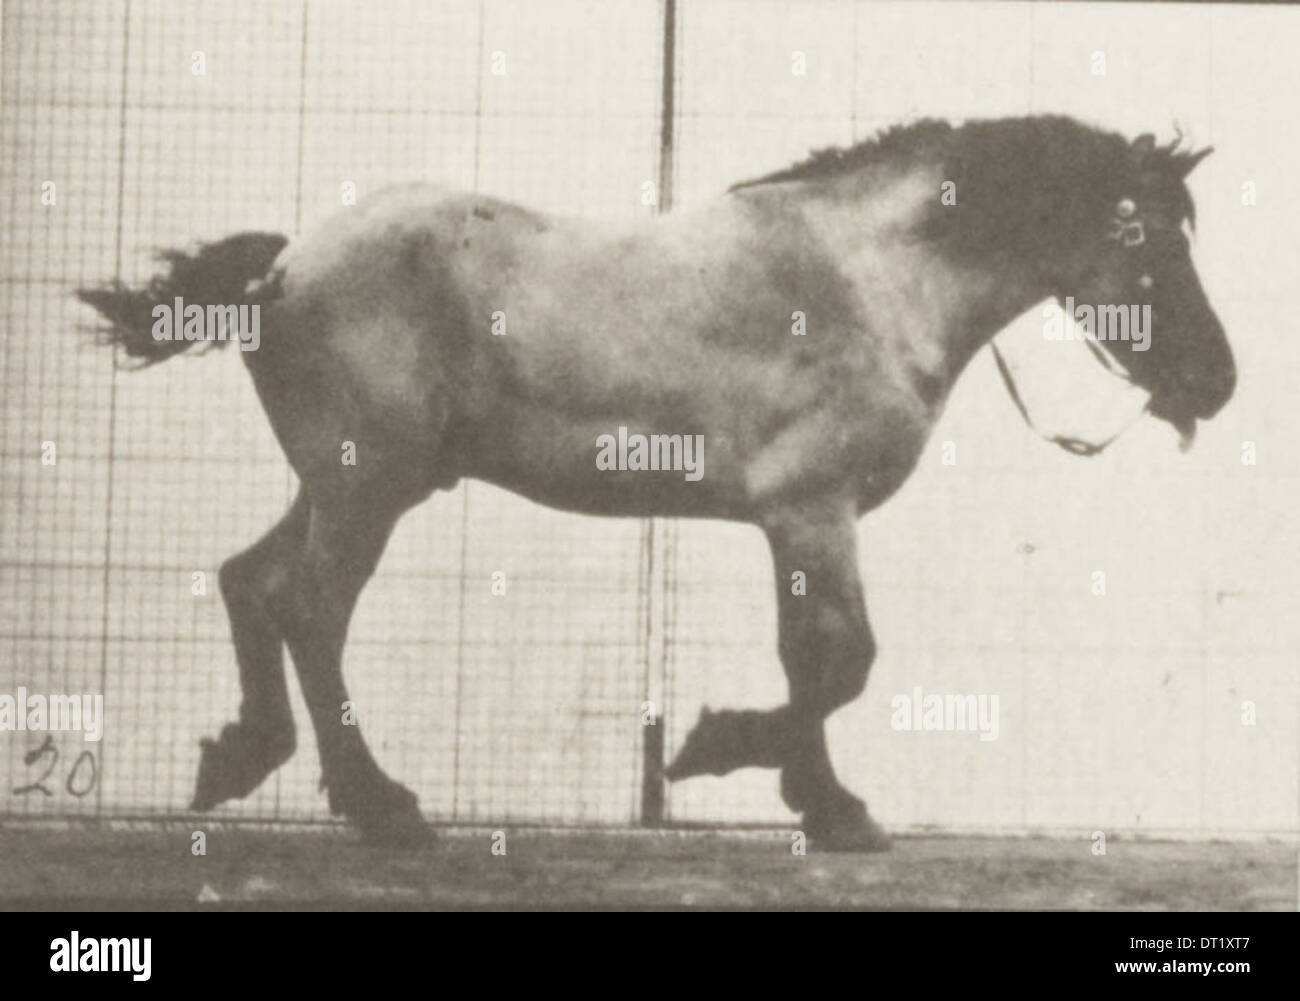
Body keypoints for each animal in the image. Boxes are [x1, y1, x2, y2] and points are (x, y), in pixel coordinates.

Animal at [76, 115, 1235, 850]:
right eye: (1146, 238)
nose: (1216, 382)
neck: (868, 279)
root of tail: (284, 266)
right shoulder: (813, 512)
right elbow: (839, 661)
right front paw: (741, 761)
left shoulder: (797, 523)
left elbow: (813, 660)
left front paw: (817, 800)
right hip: (370, 490)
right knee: (311, 609)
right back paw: (384, 806)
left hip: (344, 486)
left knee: (253, 581)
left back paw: (243, 754)